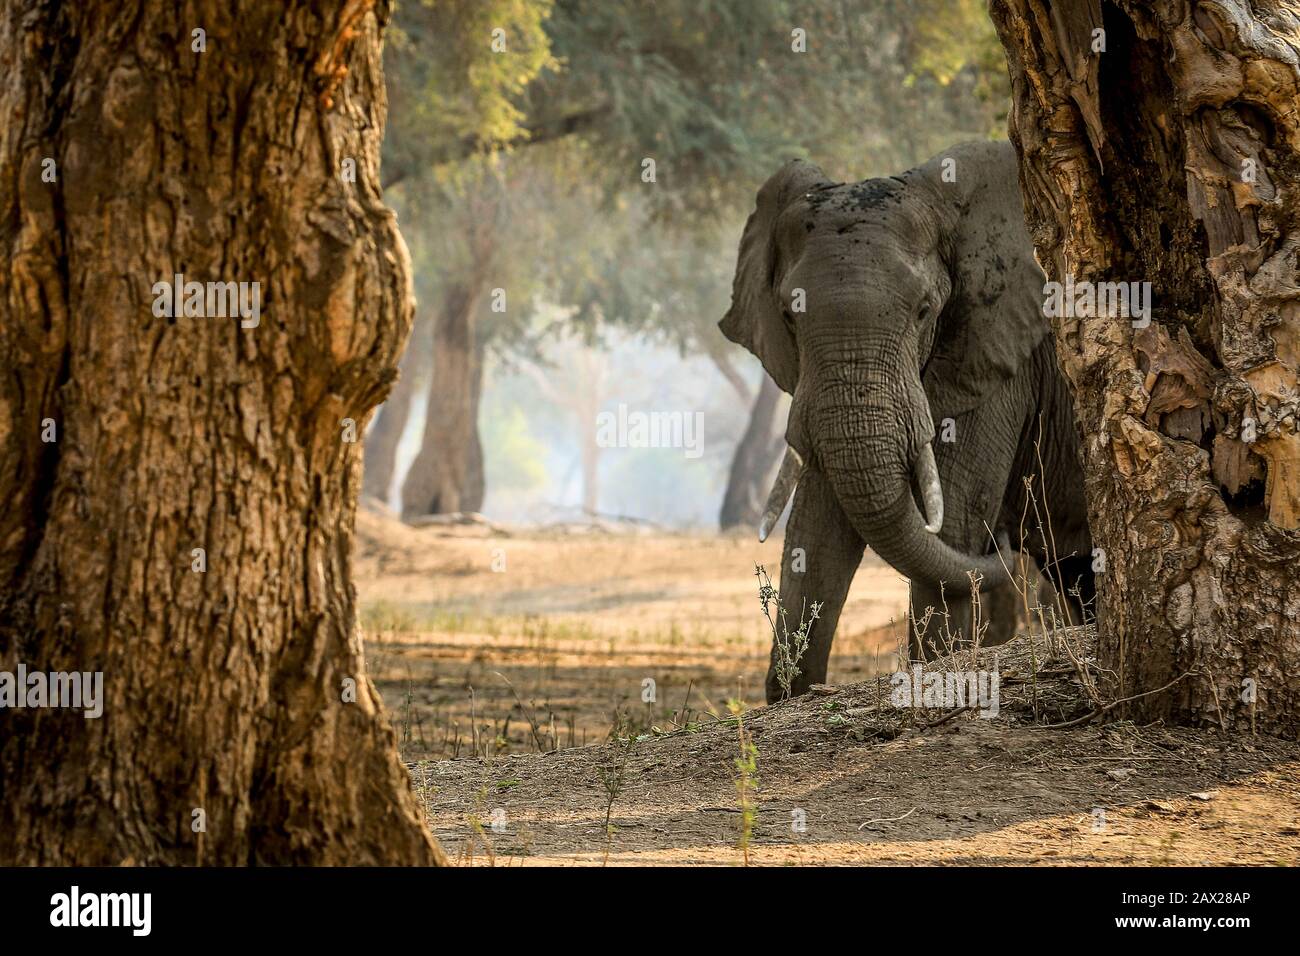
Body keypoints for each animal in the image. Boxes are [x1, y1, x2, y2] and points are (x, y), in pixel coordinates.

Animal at [719, 140, 1094, 704]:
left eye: (924, 311)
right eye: (788, 315)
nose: (1004, 543)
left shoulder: (1000, 353)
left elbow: (956, 521)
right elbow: (818, 529)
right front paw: (795, 695)